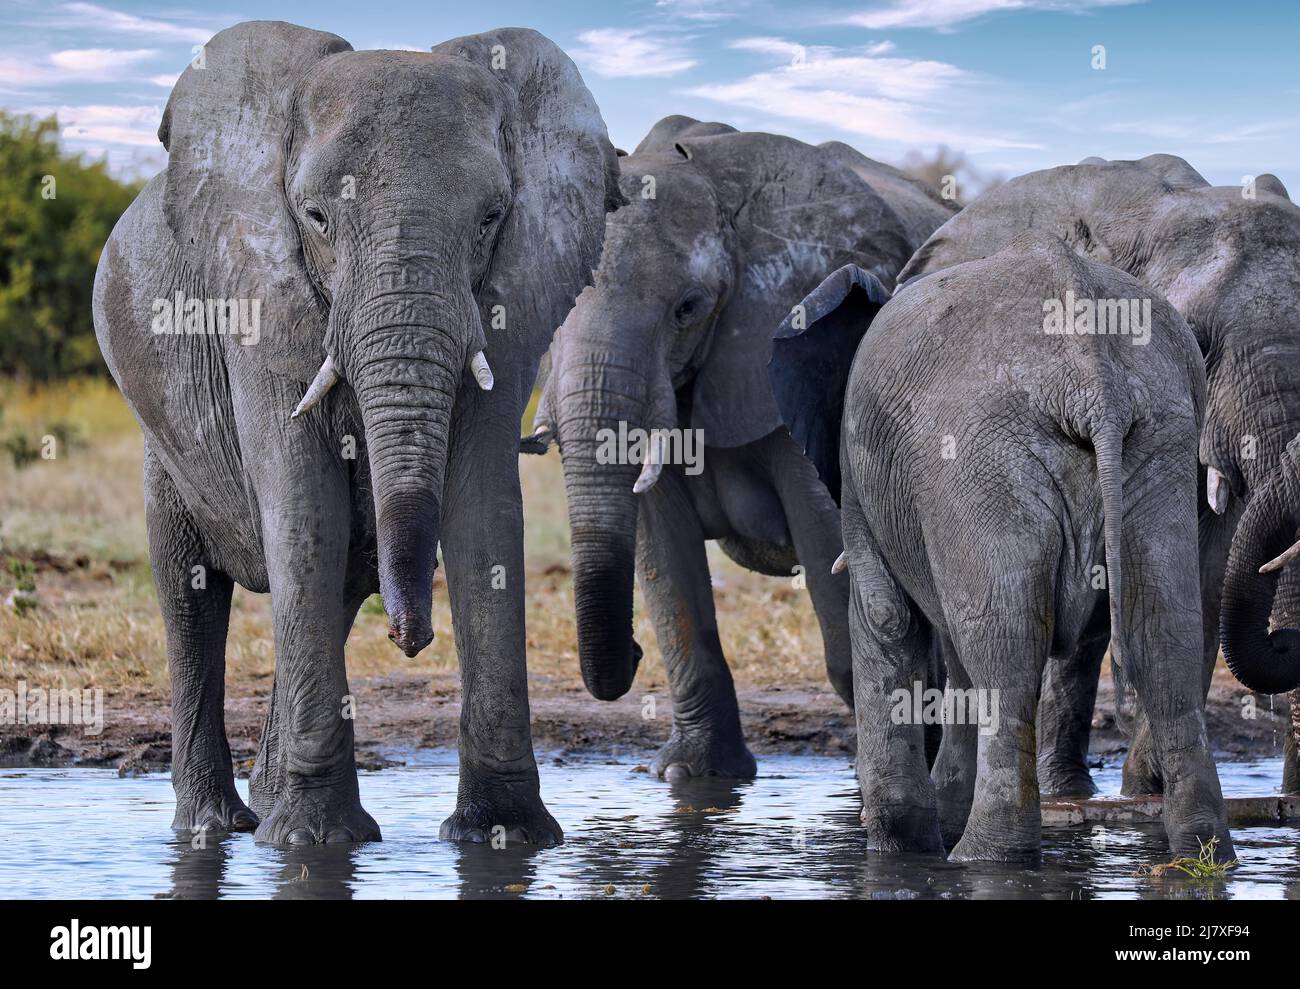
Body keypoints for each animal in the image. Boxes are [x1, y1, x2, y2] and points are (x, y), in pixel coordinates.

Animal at [92, 20, 622, 845]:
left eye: (491, 218)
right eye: (315, 218)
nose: (410, 635)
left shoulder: (509, 300)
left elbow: (485, 513)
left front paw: (503, 837)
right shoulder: (257, 298)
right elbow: (304, 508)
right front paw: (315, 843)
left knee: (335, 582)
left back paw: (271, 798)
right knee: (190, 587)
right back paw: (215, 826)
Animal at [769, 233, 1234, 863]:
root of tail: (1095, 378)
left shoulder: (862, 477)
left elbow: (887, 618)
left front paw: (901, 849)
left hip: (982, 462)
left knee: (1004, 648)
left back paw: (982, 858)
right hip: (1158, 444)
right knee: (1164, 636)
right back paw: (1202, 857)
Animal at [894, 154, 1300, 796]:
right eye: (1199, 340)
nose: (1286, 640)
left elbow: (1203, 571)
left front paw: (1150, 788)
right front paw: (1146, 787)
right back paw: (1065, 790)